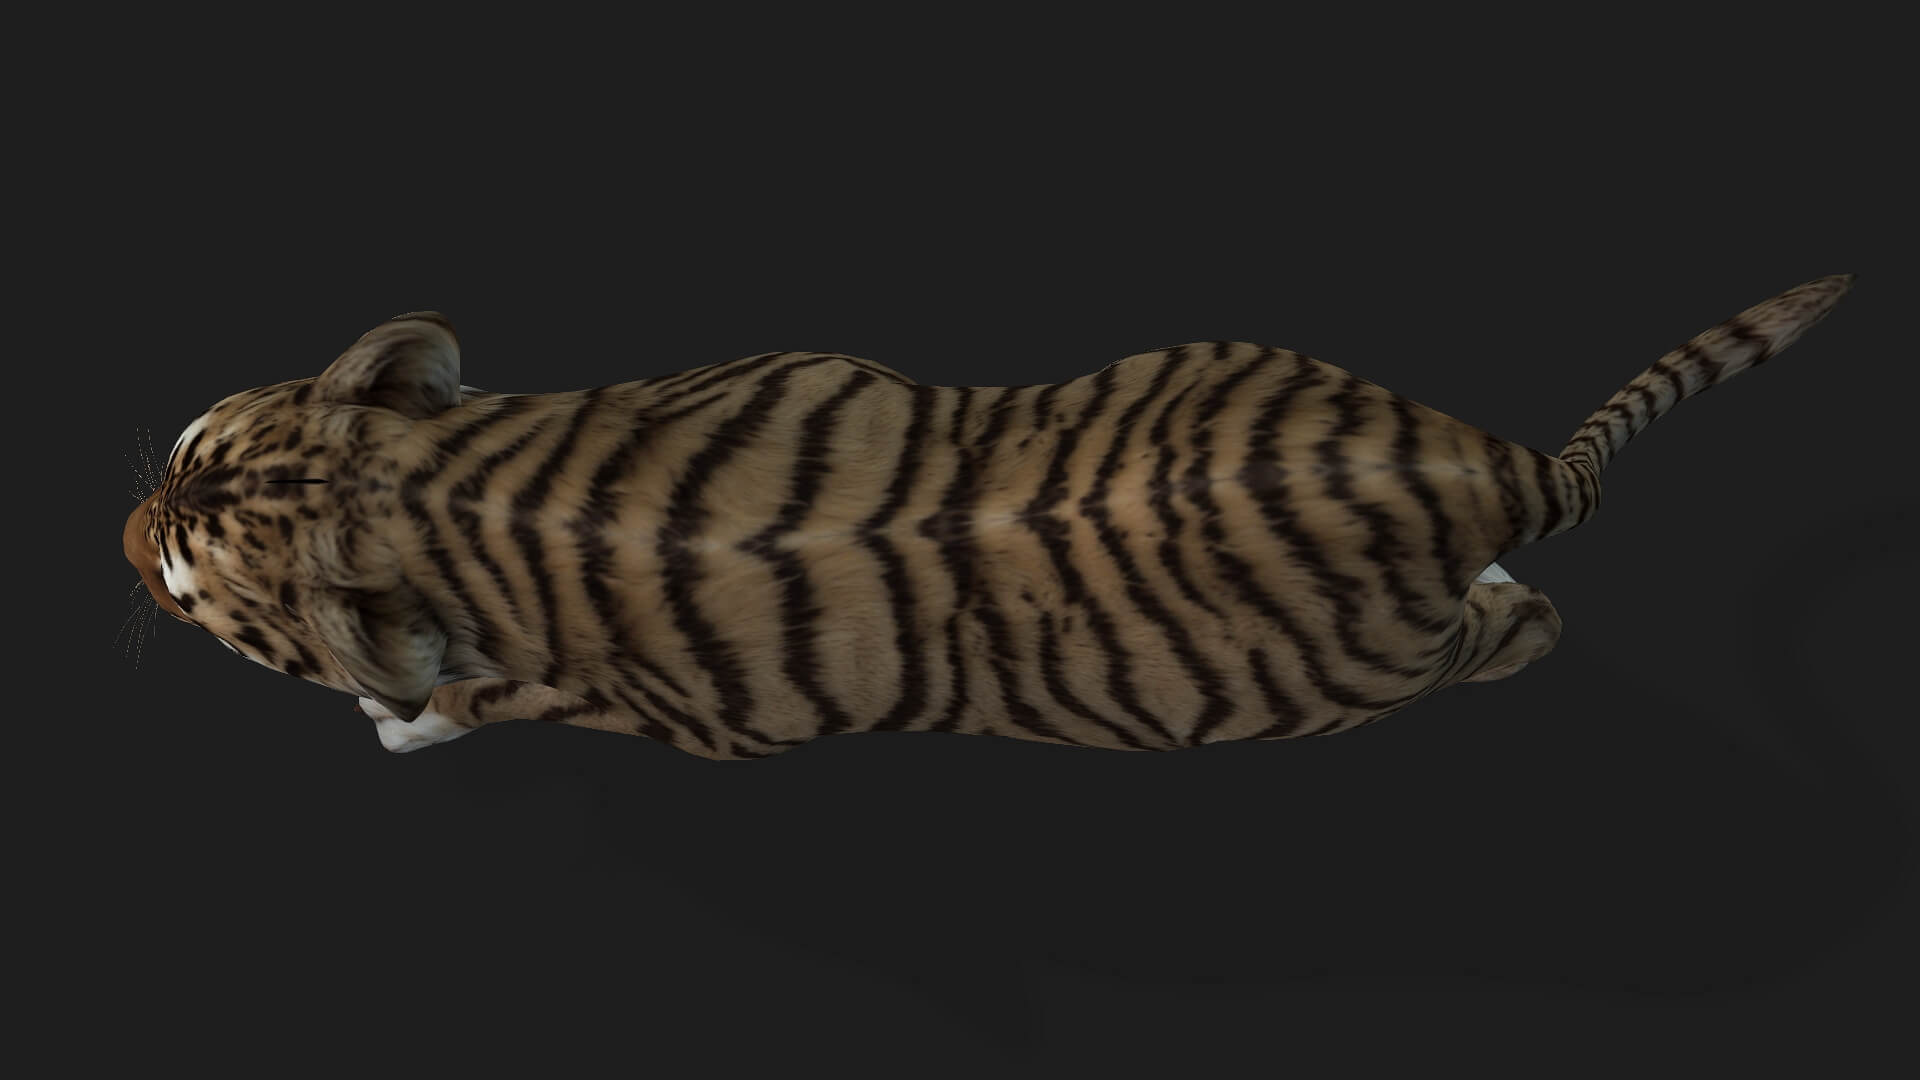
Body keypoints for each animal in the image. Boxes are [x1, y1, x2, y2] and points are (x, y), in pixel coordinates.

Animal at [121, 275, 1854, 759]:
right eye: (185, 440)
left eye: (192, 586)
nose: (120, 537)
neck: (440, 481)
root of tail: (1477, 468)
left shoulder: (664, 714)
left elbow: (480, 698)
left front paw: (397, 710)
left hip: (1353, 679)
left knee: (1526, 624)